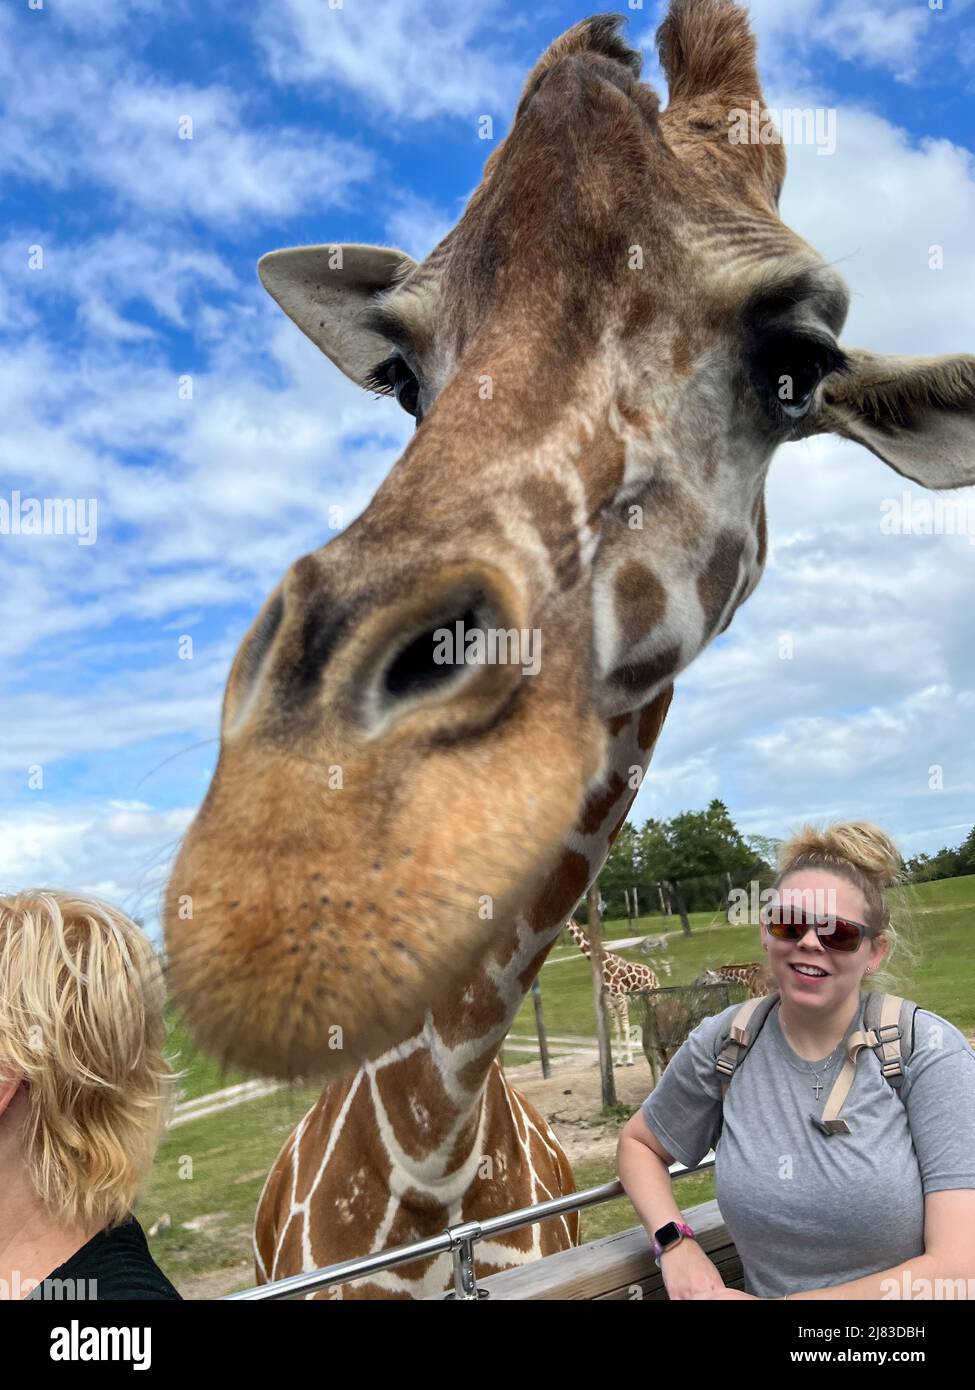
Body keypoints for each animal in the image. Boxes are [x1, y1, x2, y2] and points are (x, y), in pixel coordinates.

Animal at [564, 917, 669, 1066]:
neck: (603, 967)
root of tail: (654, 974)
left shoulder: (621, 999)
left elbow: (625, 1028)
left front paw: (630, 1060)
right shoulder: (609, 1002)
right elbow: (617, 1030)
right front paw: (619, 1061)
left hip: (654, 996)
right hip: (645, 1000)